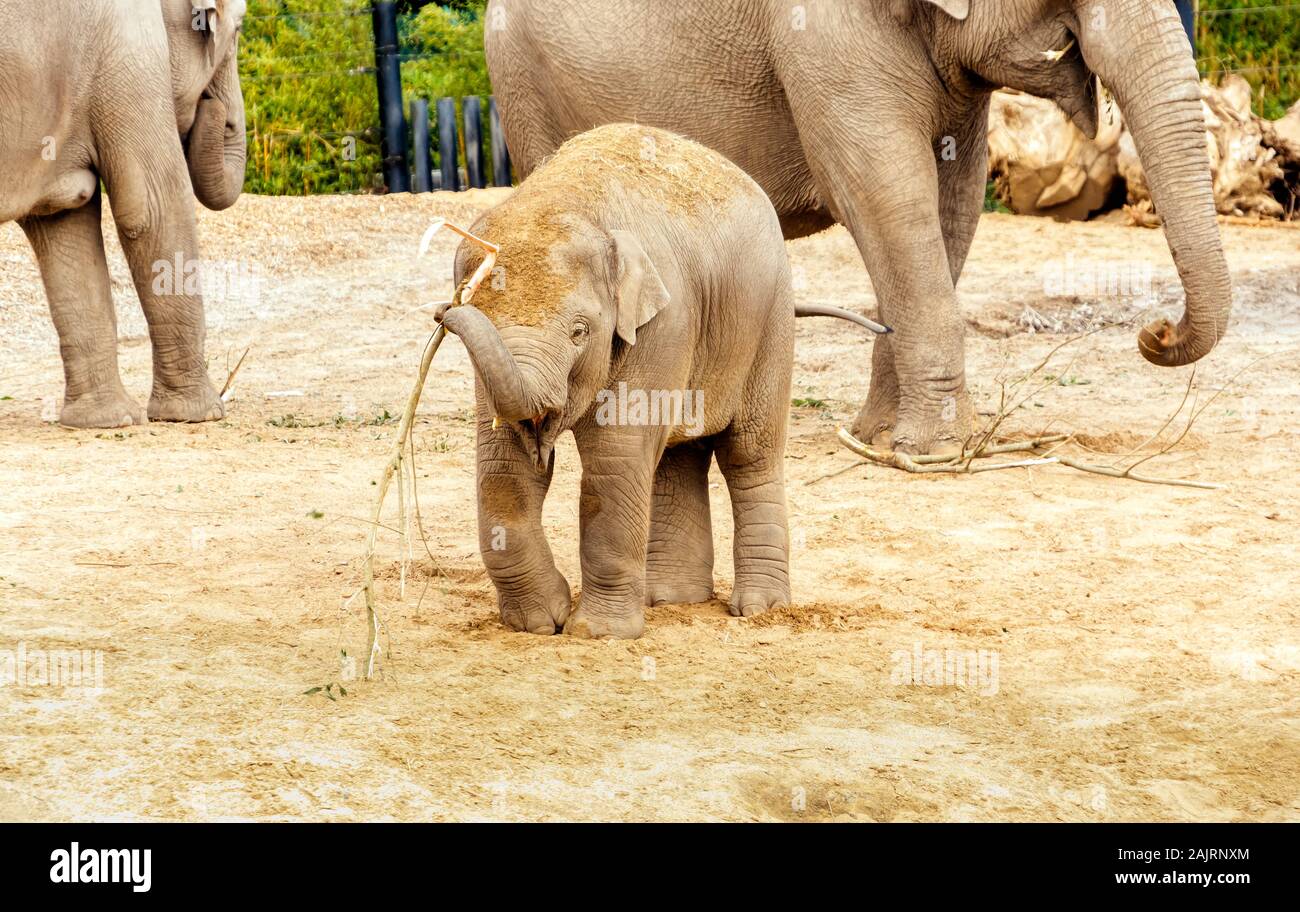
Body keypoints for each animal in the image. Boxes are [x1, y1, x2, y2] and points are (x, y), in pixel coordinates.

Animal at [0, 0, 247, 428]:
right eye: (239, 28)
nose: (214, 106)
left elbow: (64, 215)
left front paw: (105, 421)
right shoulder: (128, 50)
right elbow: (154, 209)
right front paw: (200, 414)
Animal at [437, 124, 876, 639]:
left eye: (580, 331)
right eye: (475, 311)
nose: (443, 313)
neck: (563, 199)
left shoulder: (665, 320)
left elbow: (615, 458)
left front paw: (597, 633)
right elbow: (503, 466)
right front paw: (541, 622)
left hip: (770, 319)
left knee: (750, 454)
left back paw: (760, 609)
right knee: (679, 452)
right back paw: (671, 598)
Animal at [484, 0, 1232, 456]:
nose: (1156, 332)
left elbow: (953, 198)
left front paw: (880, 440)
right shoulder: (824, 35)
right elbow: (884, 189)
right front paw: (940, 452)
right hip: (525, 84)